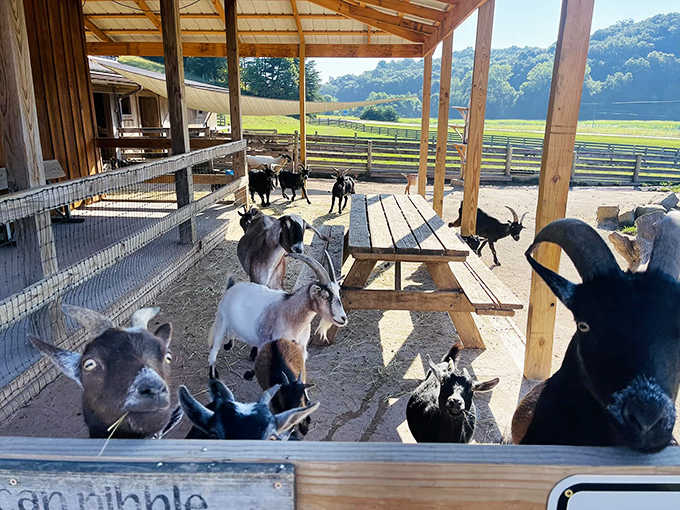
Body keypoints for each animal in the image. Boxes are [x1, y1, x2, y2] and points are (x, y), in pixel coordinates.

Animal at [207, 251, 346, 376]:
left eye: (338, 292)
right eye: (325, 295)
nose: (343, 318)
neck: (290, 314)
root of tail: (232, 287)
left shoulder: (300, 347)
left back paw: (229, 345)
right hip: (221, 320)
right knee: (214, 348)